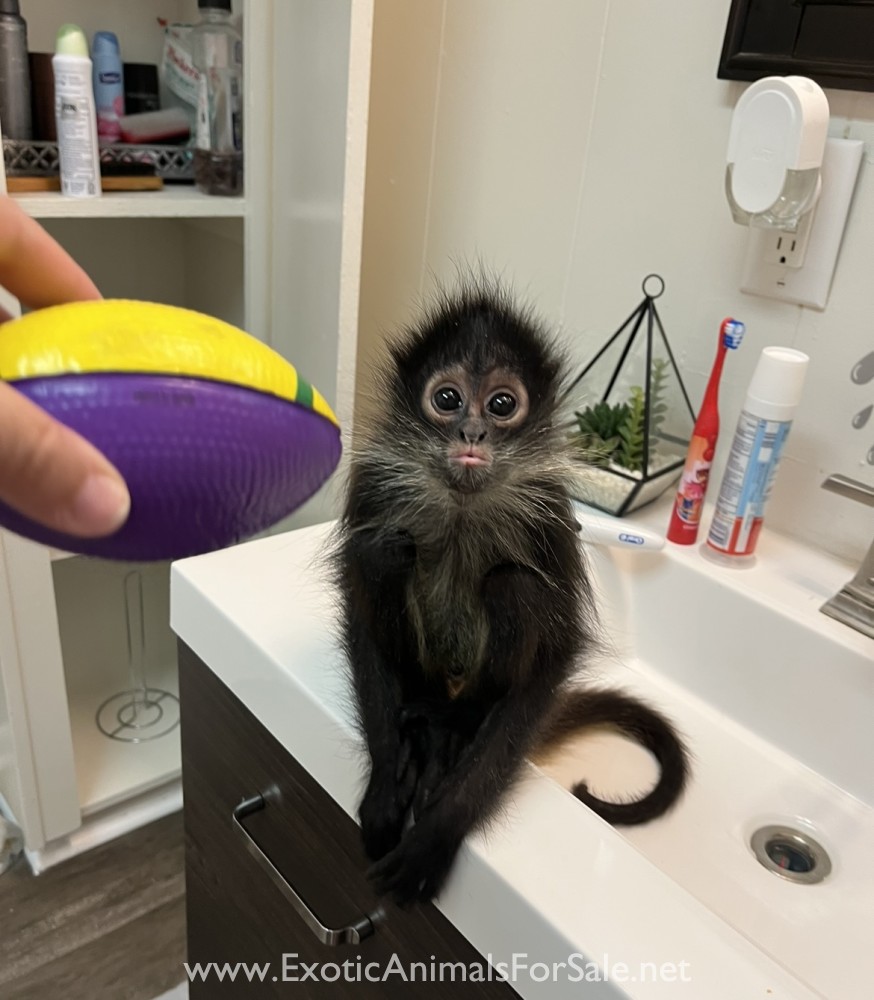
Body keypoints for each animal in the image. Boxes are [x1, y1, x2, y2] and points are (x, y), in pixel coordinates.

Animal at [332, 281, 689, 907]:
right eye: (447, 398)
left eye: (501, 404)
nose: (472, 432)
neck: (462, 501)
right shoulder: (374, 483)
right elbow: (359, 612)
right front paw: (383, 790)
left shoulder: (549, 509)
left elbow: (554, 659)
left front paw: (437, 834)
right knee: (386, 555)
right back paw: (425, 722)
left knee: (512, 583)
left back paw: (455, 723)